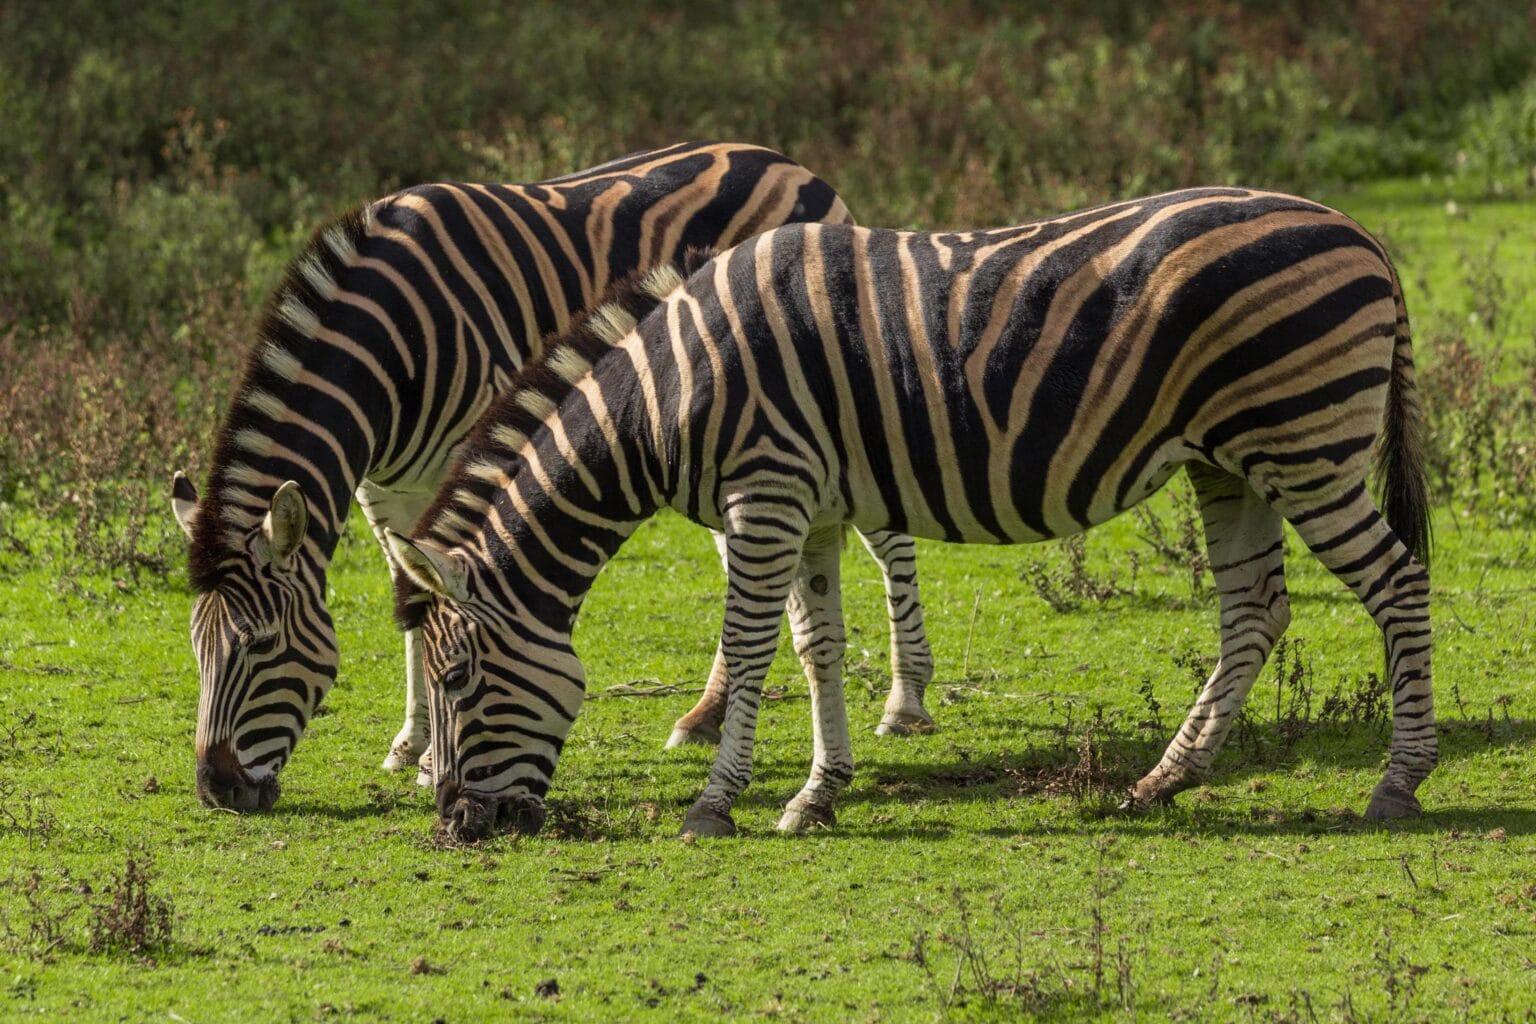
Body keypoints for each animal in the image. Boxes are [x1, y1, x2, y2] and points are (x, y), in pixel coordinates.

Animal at [168, 141, 937, 813]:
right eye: (196, 651)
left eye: (260, 646)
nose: (216, 792)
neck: (391, 341)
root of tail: (793, 163)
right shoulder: (381, 486)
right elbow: (410, 597)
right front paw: (412, 741)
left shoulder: (469, 454)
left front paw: (430, 757)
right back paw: (705, 716)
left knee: (891, 540)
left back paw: (905, 702)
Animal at [387, 186, 1434, 842]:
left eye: (459, 677)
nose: (456, 829)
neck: (667, 393)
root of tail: (1360, 230)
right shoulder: (805, 505)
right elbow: (817, 647)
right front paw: (818, 795)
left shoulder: (763, 492)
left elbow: (754, 647)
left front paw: (715, 804)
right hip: (1233, 464)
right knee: (1255, 611)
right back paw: (1164, 780)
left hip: (1303, 449)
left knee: (1398, 584)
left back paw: (1398, 782)